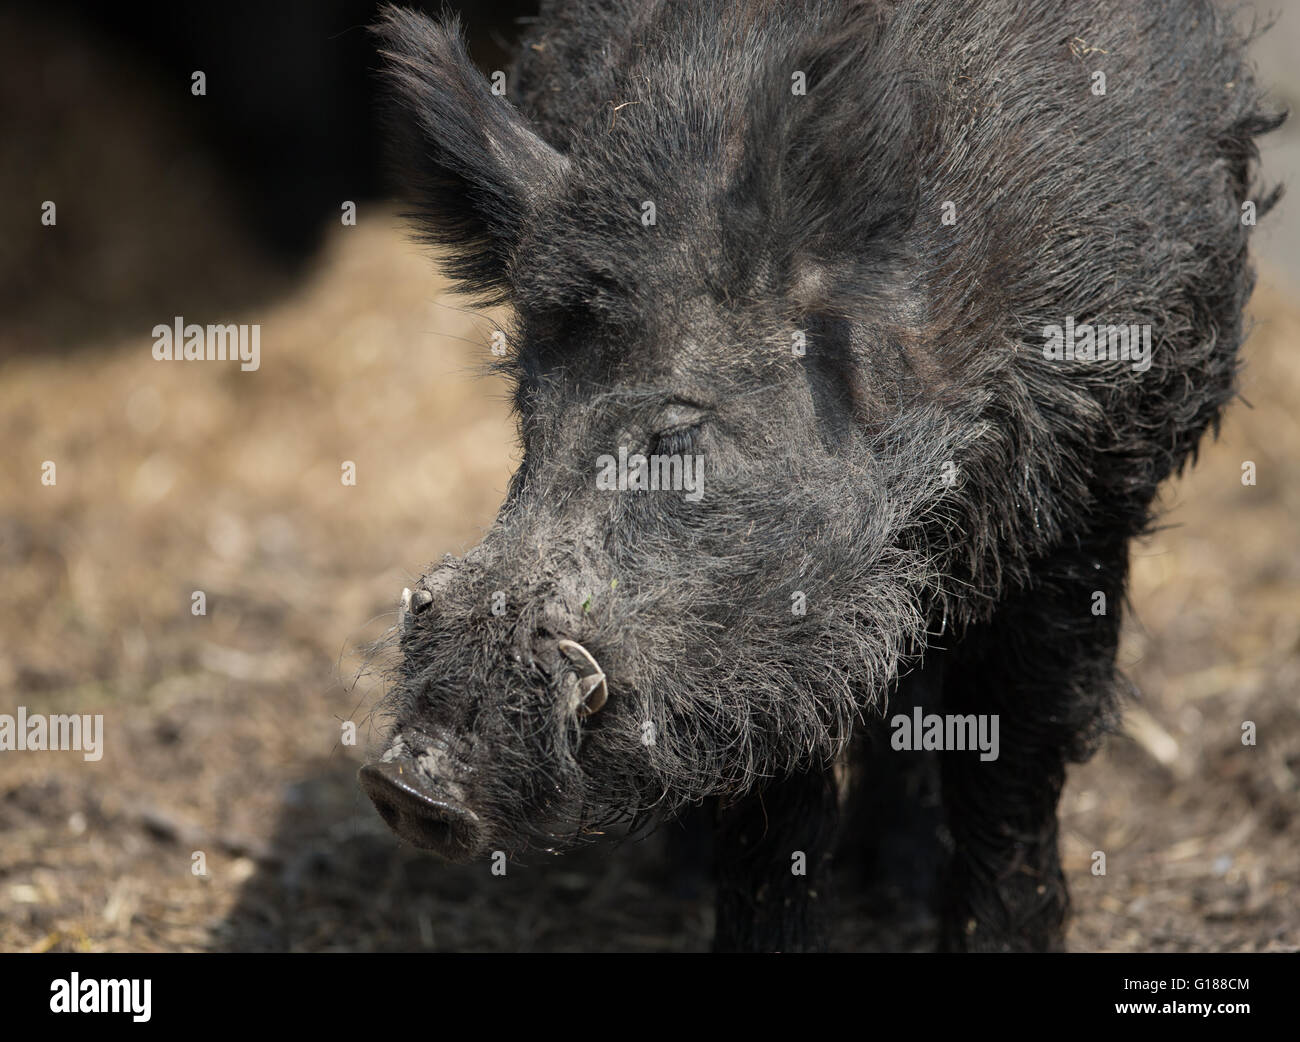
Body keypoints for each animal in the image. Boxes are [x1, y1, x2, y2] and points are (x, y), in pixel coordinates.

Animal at [359, 0, 1282, 951]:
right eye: (528, 414)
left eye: (678, 430)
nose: (405, 784)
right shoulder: (758, 631)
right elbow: (774, 812)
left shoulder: (1090, 492)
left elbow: (1014, 758)